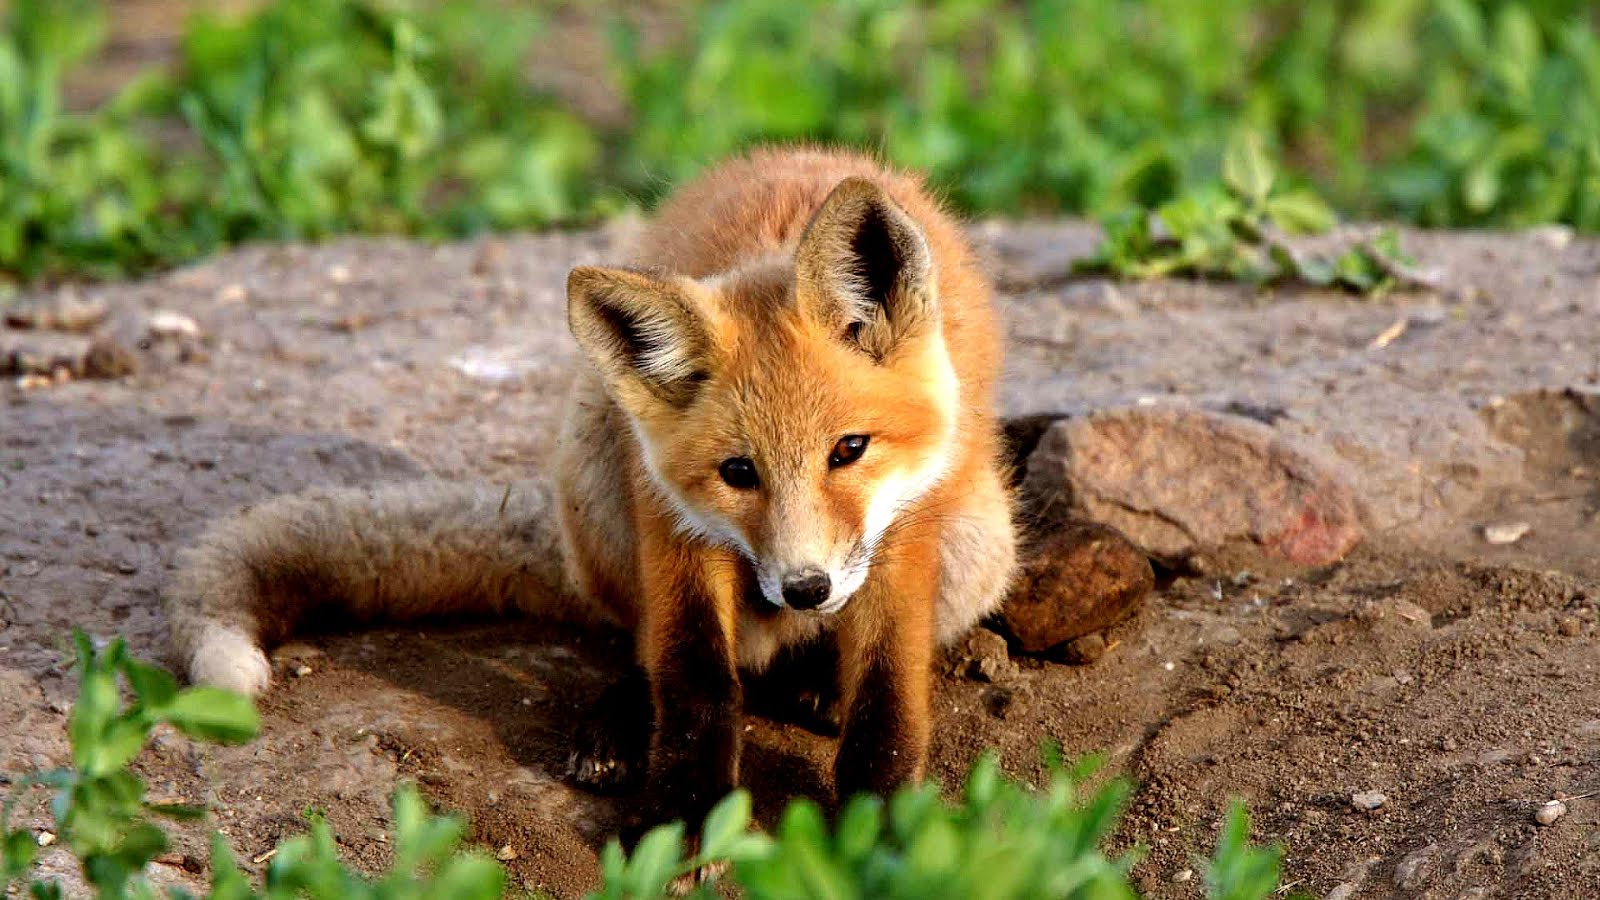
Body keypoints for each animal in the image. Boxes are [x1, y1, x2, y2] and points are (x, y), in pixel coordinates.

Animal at [163, 147, 1018, 837]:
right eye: (739, 472)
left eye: (850, 450)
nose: (804, 588)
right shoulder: (674, 514)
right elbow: (696, 678)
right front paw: (683, 819)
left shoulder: (903, 529)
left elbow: (888, 702)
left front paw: (884, 833)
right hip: (593, 460)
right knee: (649, 643)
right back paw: (624, 717)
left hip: (986, 536)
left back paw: (814, 684)